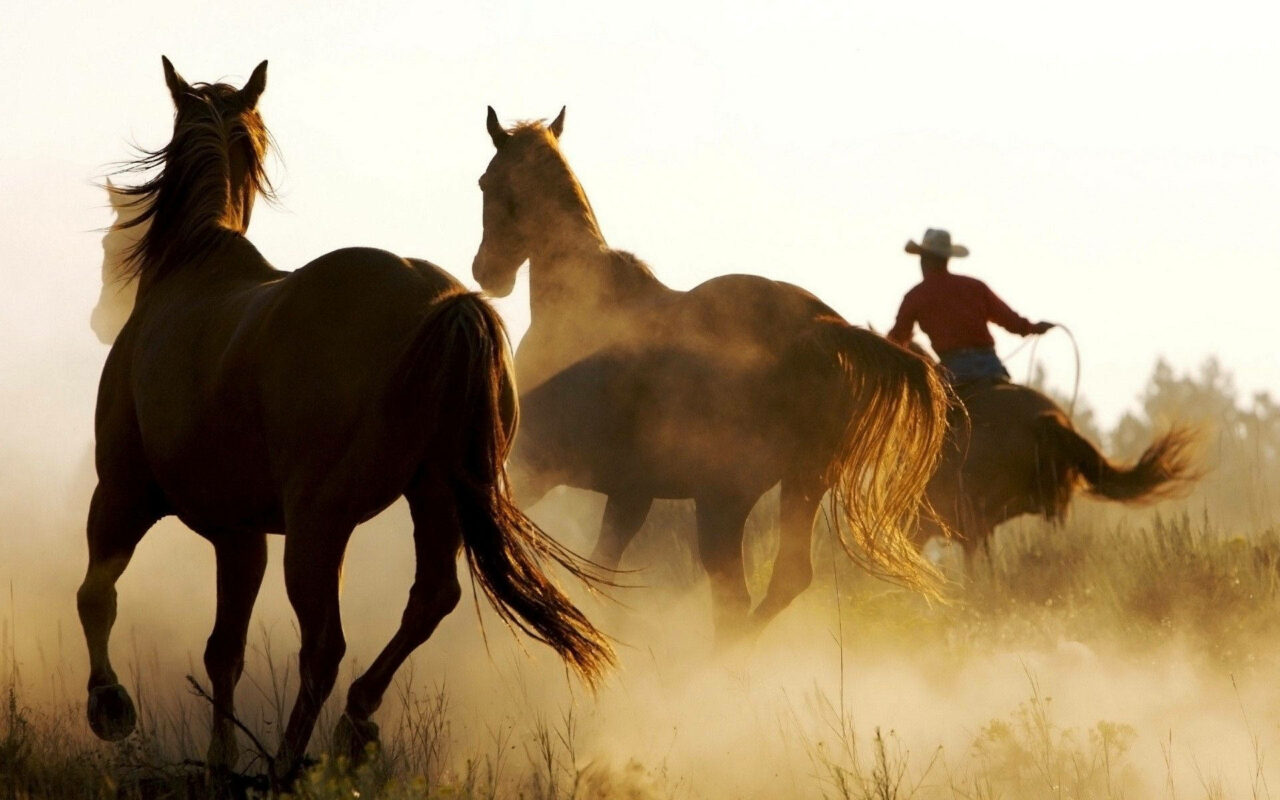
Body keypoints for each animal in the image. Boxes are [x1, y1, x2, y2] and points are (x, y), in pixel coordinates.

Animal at [78, 59, 613, 782]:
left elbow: (97, 595)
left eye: (116, 241)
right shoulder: (239, 535)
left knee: (325, 646)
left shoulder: (122, 494)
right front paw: (220, 763)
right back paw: (354, 725)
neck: (190, 270)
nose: (100, 315)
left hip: (318, 526)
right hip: (434, 499)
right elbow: (223, 651)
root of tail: (445, 305)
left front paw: (110, 705)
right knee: (427, 602)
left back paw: (286, 766)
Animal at [471, 107, 954, 642]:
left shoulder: (534, 466)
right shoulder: (630, 493)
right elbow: (602, 570)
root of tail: (821, 328)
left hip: (724, 501)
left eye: (485, 181)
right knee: (782, 582)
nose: (487, 272)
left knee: (735, 598)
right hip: (798, 484)